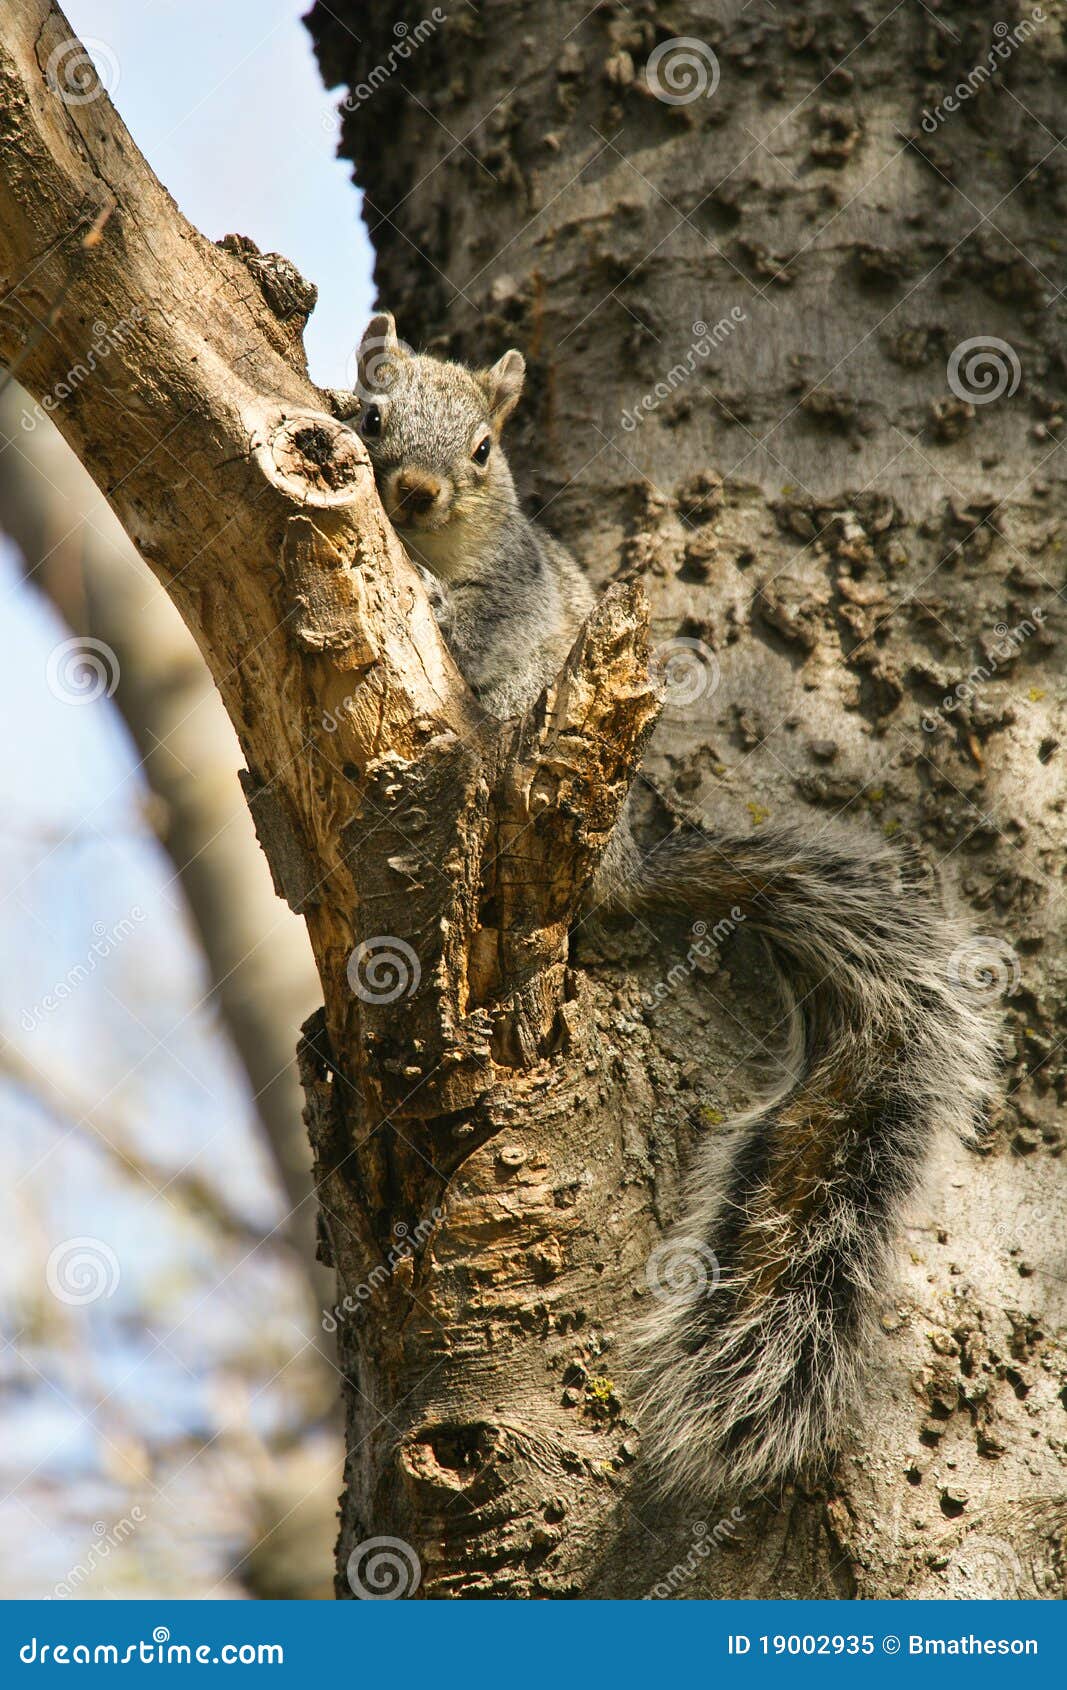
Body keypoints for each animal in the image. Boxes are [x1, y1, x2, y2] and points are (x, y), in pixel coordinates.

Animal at [343, 311, 1001, 1500]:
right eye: (369, 414)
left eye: (483, 450)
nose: (410, 490)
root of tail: (620, 867)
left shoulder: (510, 597)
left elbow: (483, 627)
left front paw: (442, 609)